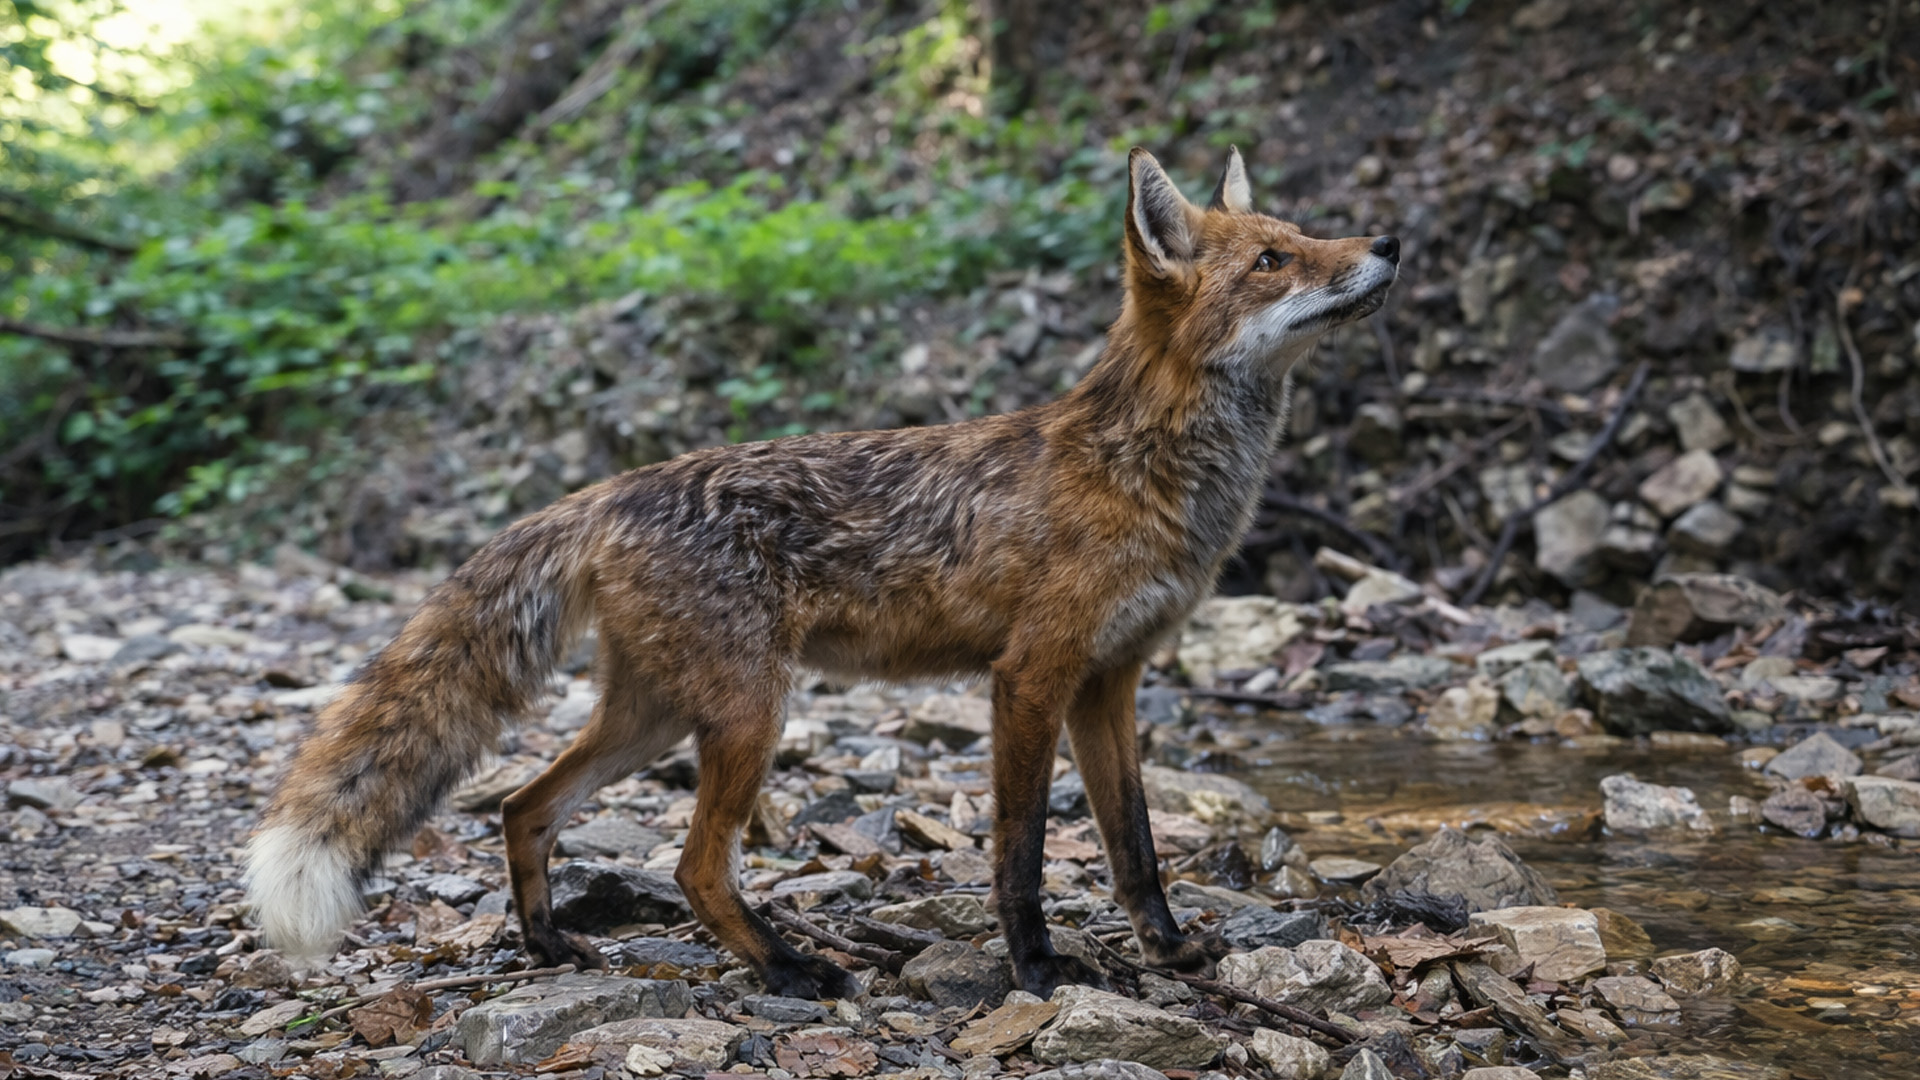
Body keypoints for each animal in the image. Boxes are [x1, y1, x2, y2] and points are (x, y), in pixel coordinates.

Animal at [244, 146, 1399, 1000]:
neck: (1139, 468)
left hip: (657, 715)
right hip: (752, 713)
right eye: (1273, 259)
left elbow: (1136, 846)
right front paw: (1036, 969)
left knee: (523, 807)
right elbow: (1022, 854)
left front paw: (1168, 950)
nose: (1389, 241)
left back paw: (548, 947)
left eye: (1304, 237)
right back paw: (792, 969)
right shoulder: (1030, 677)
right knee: (692, 866)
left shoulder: (1111, 681)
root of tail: (614, 488)